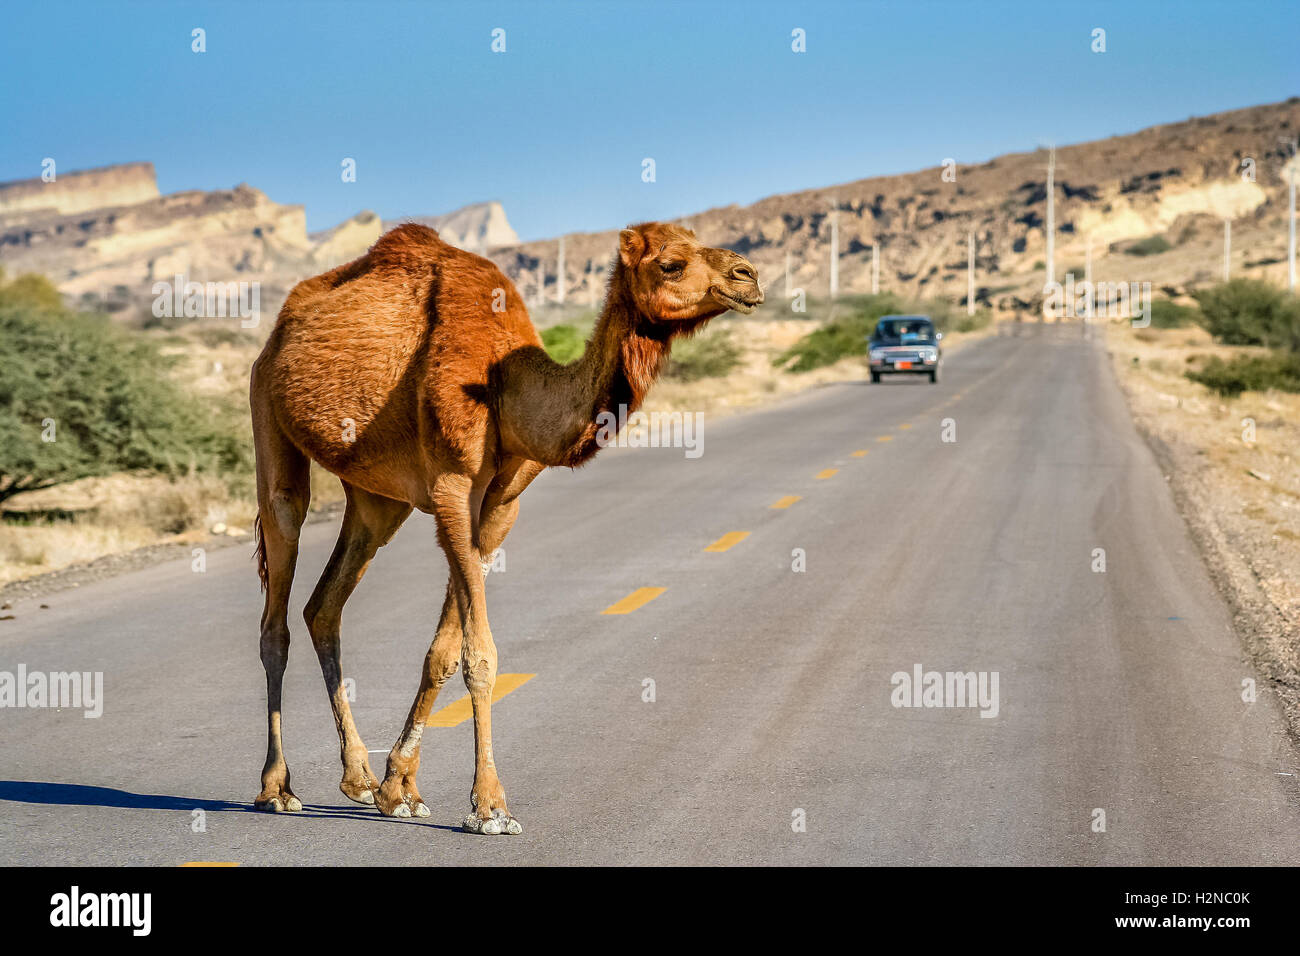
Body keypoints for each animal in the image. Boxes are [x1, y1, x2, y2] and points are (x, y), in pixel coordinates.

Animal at [248, 220, 762, 834]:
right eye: (671, 263)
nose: (749, 276)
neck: (504, 383)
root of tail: (276, 334)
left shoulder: (500, 507)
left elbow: (444, 652)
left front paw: (401, 789)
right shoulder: (451, 487)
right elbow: (480, 654)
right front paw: (490, 805)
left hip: (376, 499)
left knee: (323, 607)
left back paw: (357, 777)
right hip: (268, 420)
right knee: (277, 599)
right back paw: (277, 788)